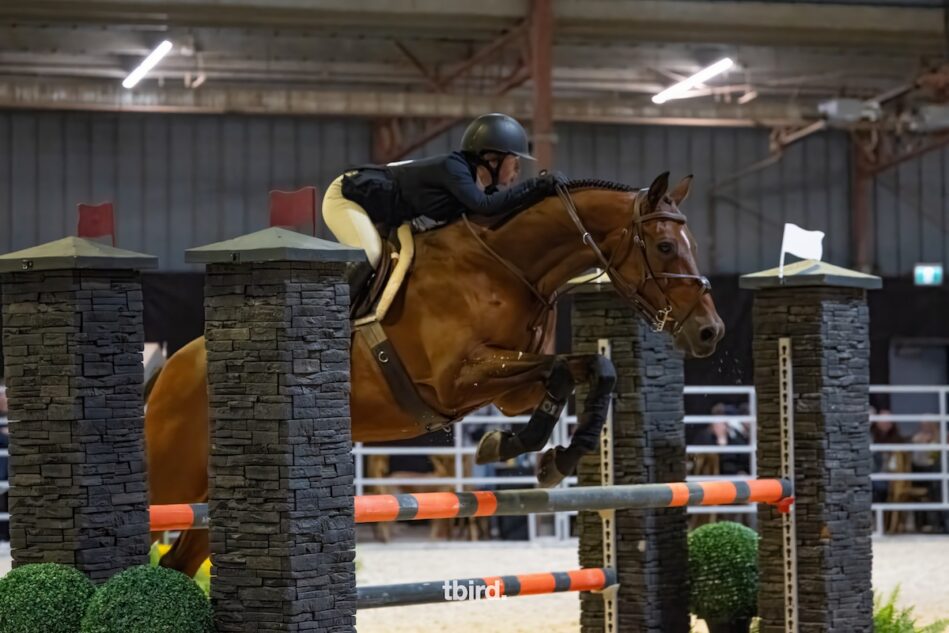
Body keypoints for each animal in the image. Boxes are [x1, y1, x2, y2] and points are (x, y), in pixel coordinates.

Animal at [144, 171, 725, 575]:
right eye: (665, 246)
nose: (709, 332)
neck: (508, 266)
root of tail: (169, 370)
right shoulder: (457, 379)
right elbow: (564, 372)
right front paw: (516, 447)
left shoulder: (510, 387)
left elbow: (590, 368)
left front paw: (550, 455)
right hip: (172, 477)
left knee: (179, 562)